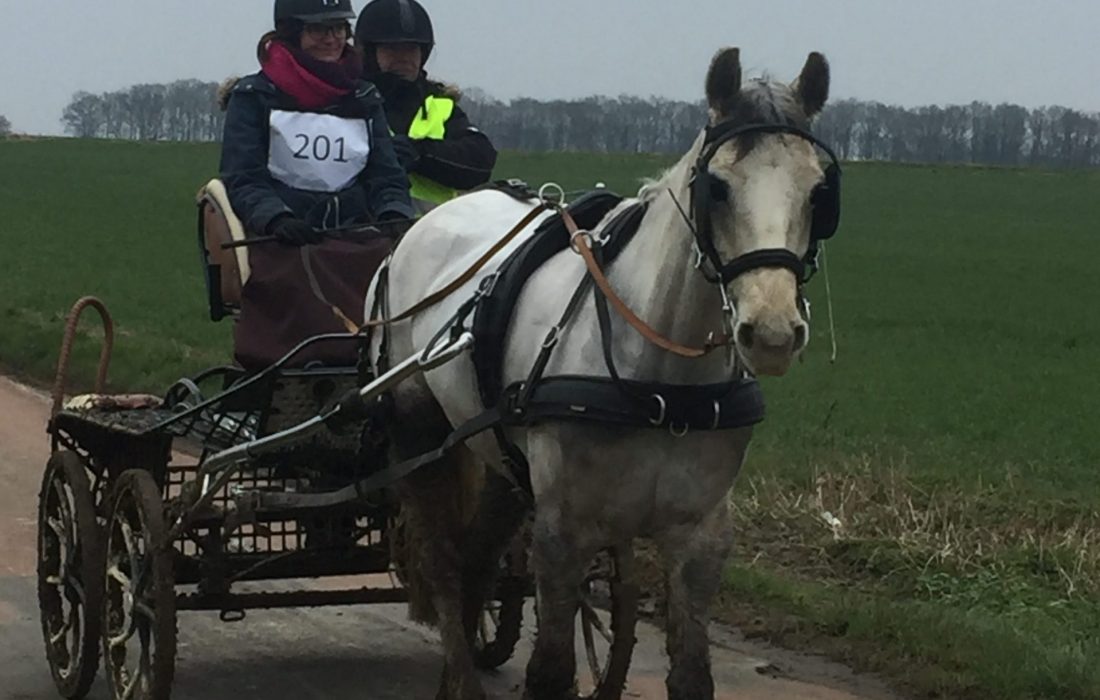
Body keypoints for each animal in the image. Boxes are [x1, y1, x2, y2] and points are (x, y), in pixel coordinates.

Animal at [372, 47, 837, 700]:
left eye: (819, 191)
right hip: (420, 438)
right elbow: (549, 671)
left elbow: (691, 676)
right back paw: (460, 675)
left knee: (478, 557)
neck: (662, 386)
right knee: (442, 561)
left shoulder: (700, 538)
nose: (770, 333)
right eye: (717, 187)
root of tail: (430, 220)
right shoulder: (562, 532)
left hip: (496, 450)